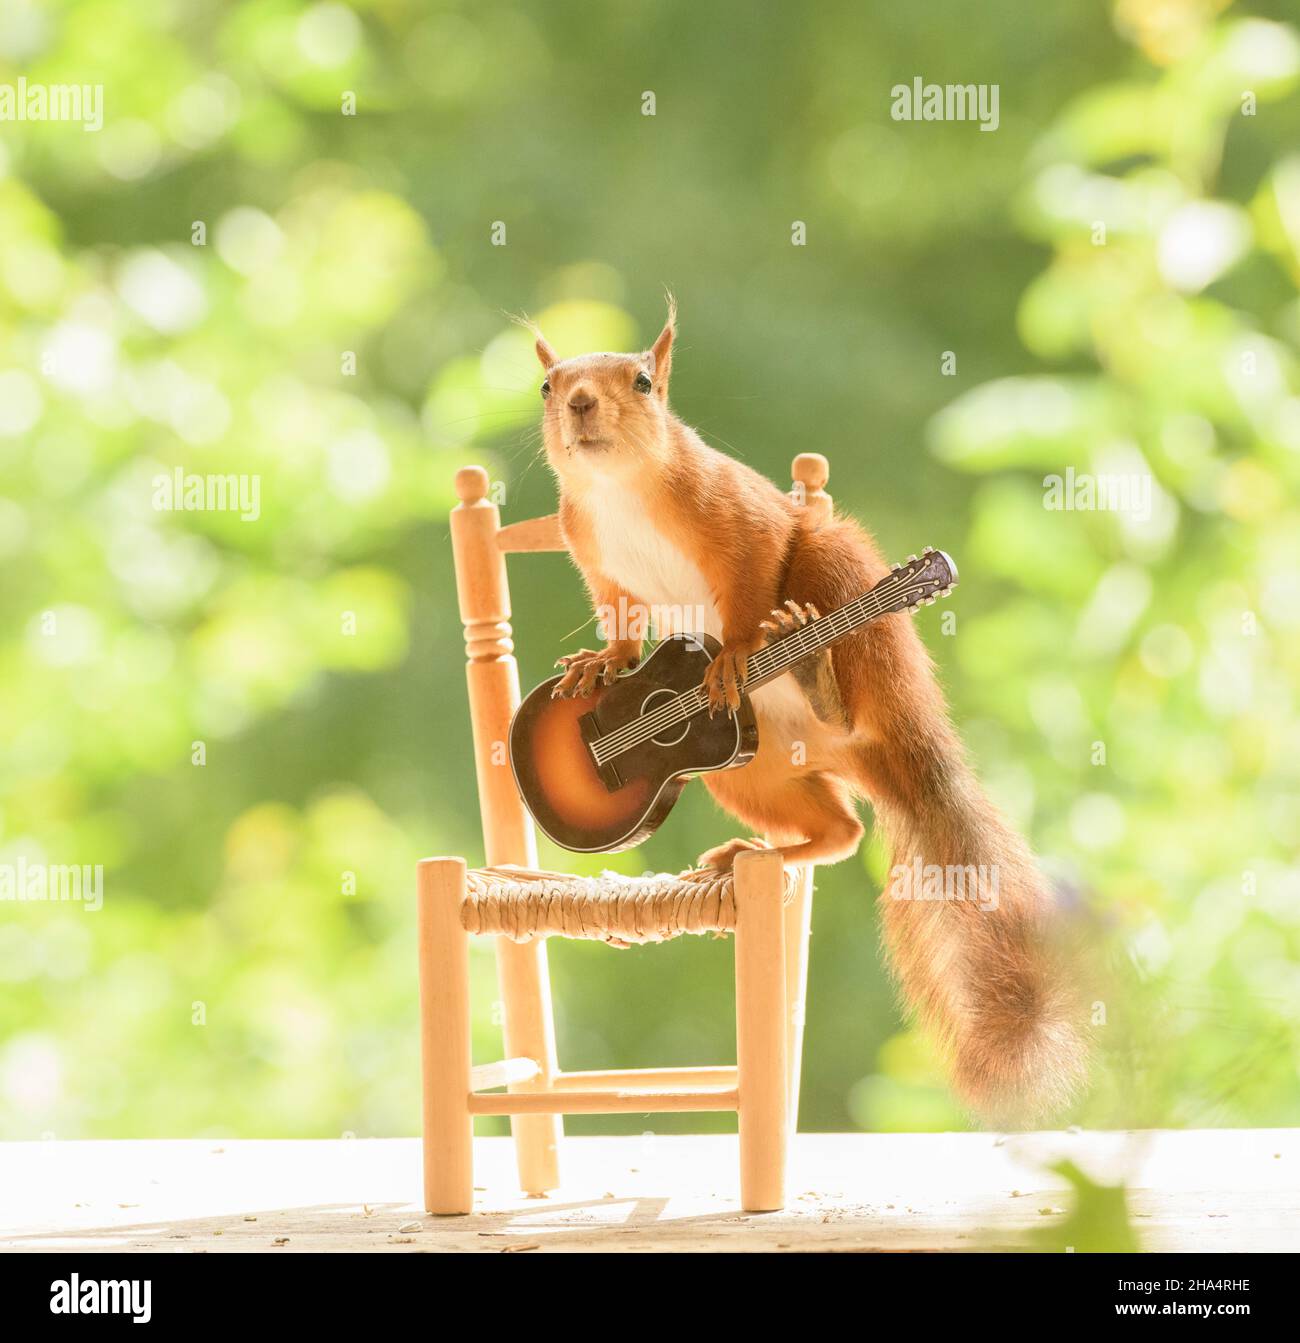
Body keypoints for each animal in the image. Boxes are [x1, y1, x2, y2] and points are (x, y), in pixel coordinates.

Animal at [531, 300, 1087, 1121]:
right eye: (546, 384)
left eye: (642, 382)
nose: (577, 403)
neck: (618, 491)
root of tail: (865, 746)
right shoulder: (593, 554)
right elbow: (621, 620)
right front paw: (605, 664)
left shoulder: (739, 515)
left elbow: (753, 577)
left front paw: (731, 655)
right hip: (746, 766)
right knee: (841, 831)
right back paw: (749, 848)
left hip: (839, 574)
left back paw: (814, 667)